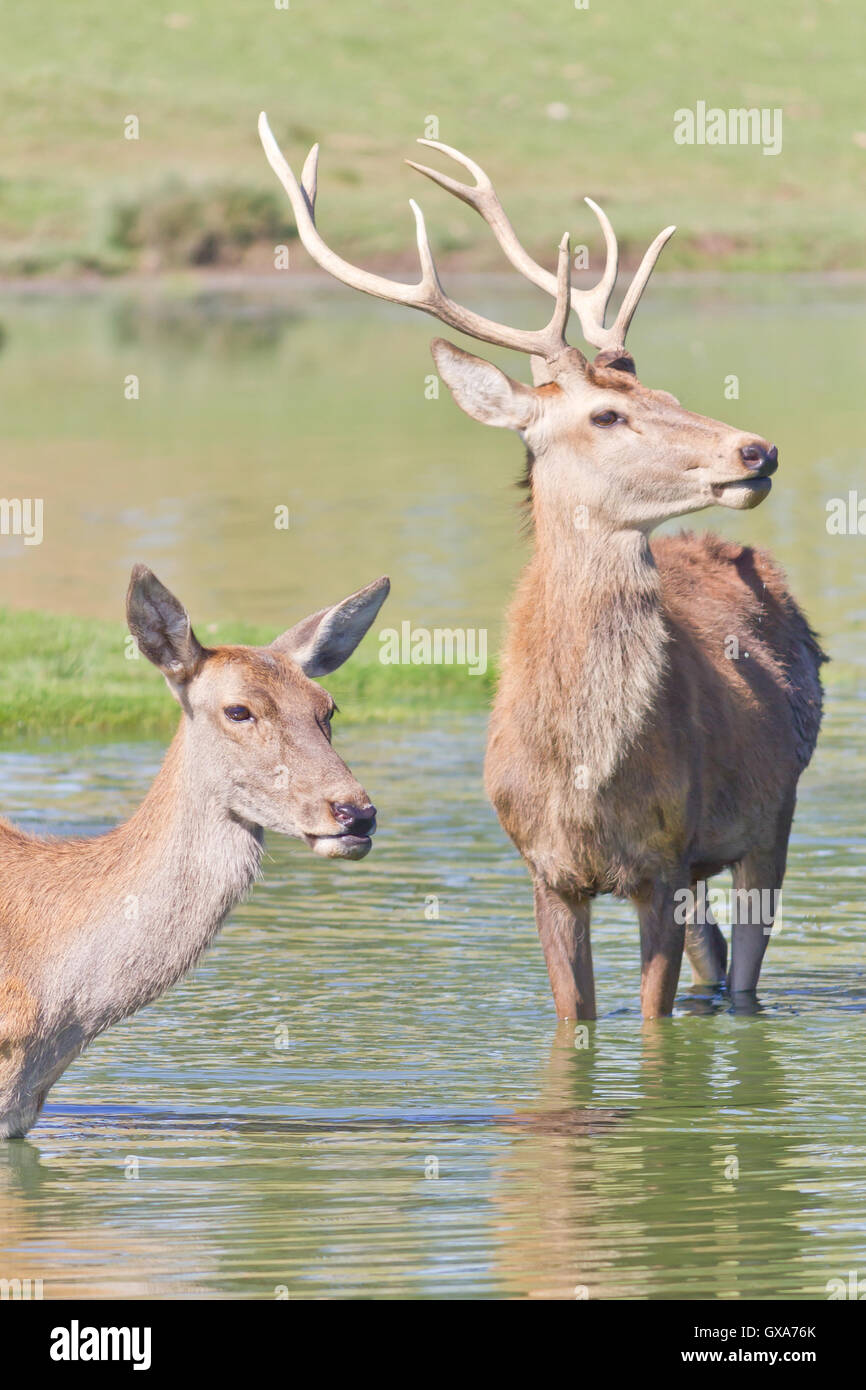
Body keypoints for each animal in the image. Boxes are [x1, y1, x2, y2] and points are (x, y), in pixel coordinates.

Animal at [258, 114, 826, 1022]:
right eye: (608, 414)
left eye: (669, 396)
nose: (757, 450)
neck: (583, 778)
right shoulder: (544, 870)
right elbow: (575, 1017)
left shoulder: (663, 860)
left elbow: (652, 1027)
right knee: (720, 958)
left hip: (775, 810)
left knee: (744, 973)